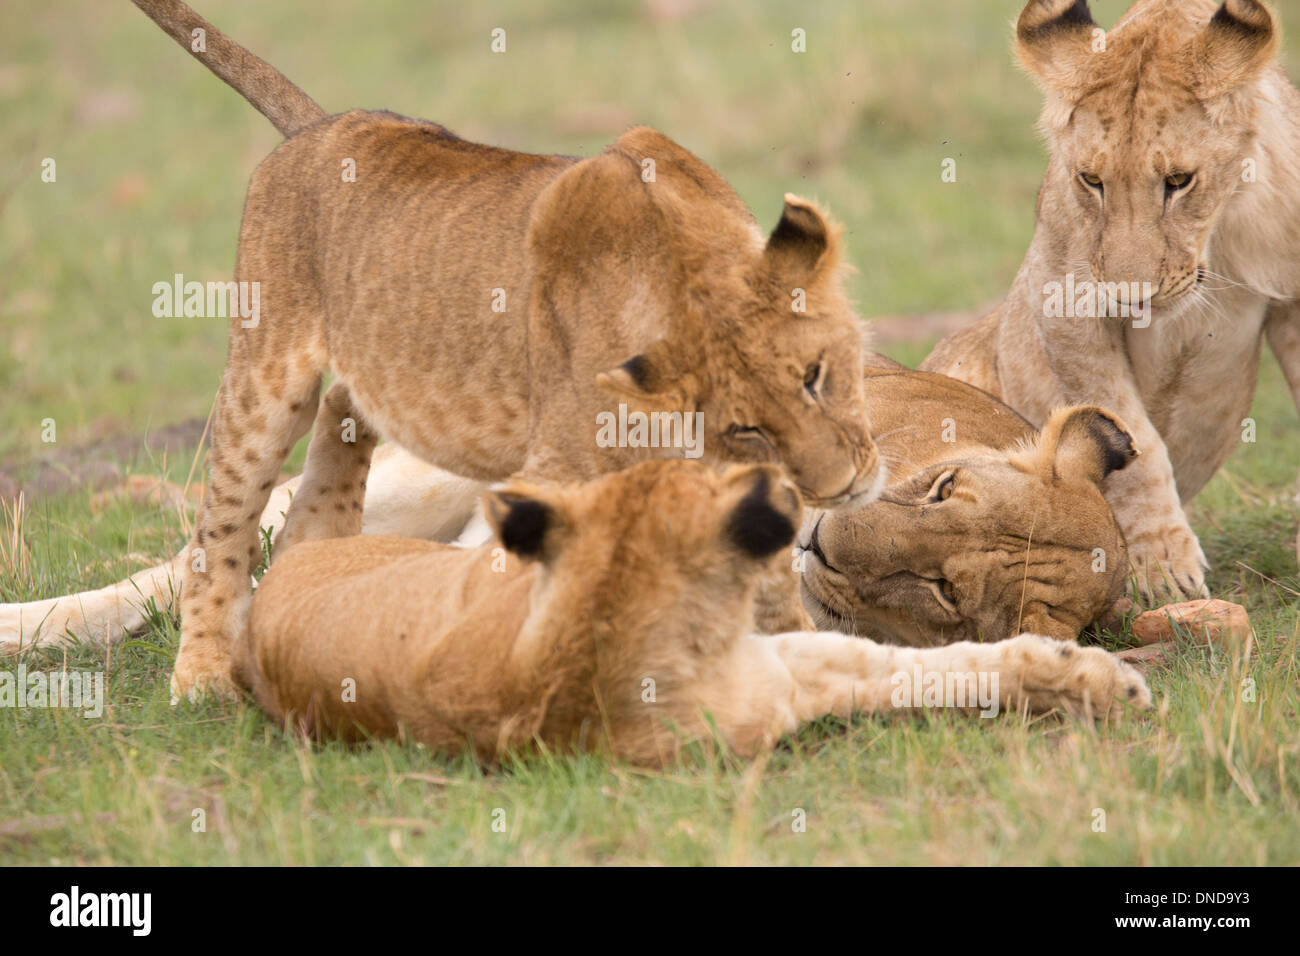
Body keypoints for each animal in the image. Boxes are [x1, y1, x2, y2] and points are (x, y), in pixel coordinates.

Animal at [130, 1, 878, 699]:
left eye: (816, 376)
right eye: (747, 427)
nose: (843, 486)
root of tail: (324, 125)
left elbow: (772, 578)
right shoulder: (555, 470)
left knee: (327, 458)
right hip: (264, 380)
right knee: (221, 529)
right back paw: (202, 674)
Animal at [231, 459, 1150, 766]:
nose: (810, 518)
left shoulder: (780, 681)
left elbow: (936, 674)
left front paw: (1084, 681)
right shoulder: (796, 662)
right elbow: (934, 666)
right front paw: (1092, 675)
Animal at [921, 0, 1300, 600]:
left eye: (1179, 180)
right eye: (1091, 180)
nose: (1130, 295)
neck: (1219, 232)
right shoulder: (1063, 298)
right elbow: (1133, 440)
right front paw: (1164, 567)